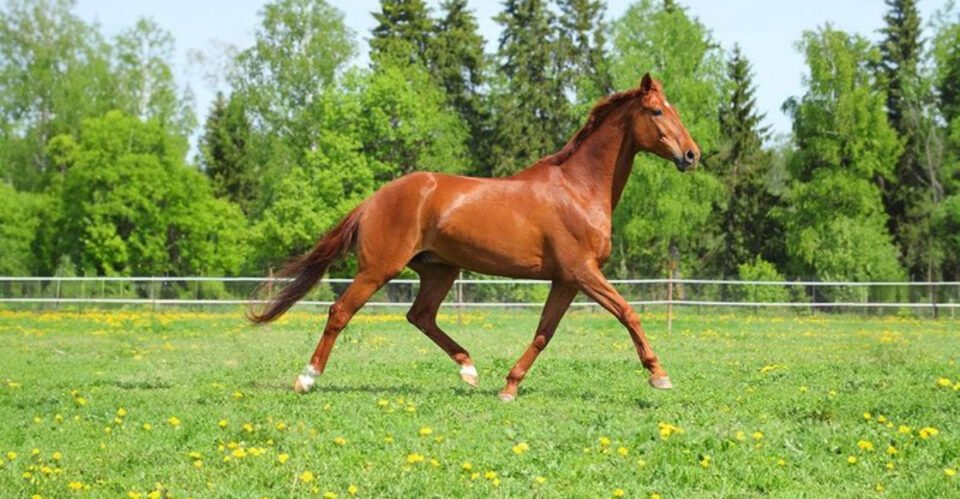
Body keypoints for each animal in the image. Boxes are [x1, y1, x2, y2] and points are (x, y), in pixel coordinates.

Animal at [249, 73, 700, 402]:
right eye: (657, 111)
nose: (692, 155)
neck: (578, 189)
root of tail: (376, 198)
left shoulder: (566, 280)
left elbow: (544, 333)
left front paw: (509, 387)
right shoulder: (583, 272)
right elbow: (628, 313)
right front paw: (659, 375)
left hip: (439, 271)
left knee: (420, 316)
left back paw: (469, 369)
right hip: (379, 269)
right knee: (340, 312)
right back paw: (307, 378)